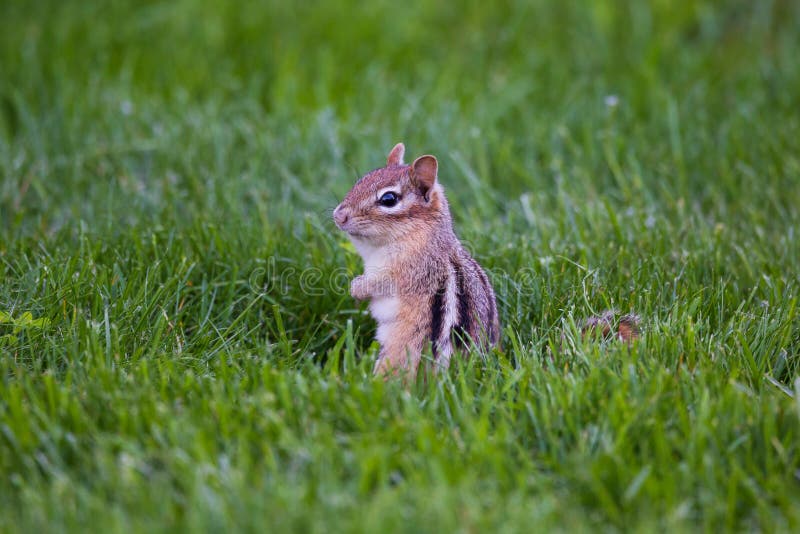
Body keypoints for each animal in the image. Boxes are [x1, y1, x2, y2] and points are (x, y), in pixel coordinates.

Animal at [333, 143, 501, 379]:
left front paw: (356, 289)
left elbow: (378, 283)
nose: (338, 216)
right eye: (360, 182)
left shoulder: (406, 269)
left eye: (389, 199)